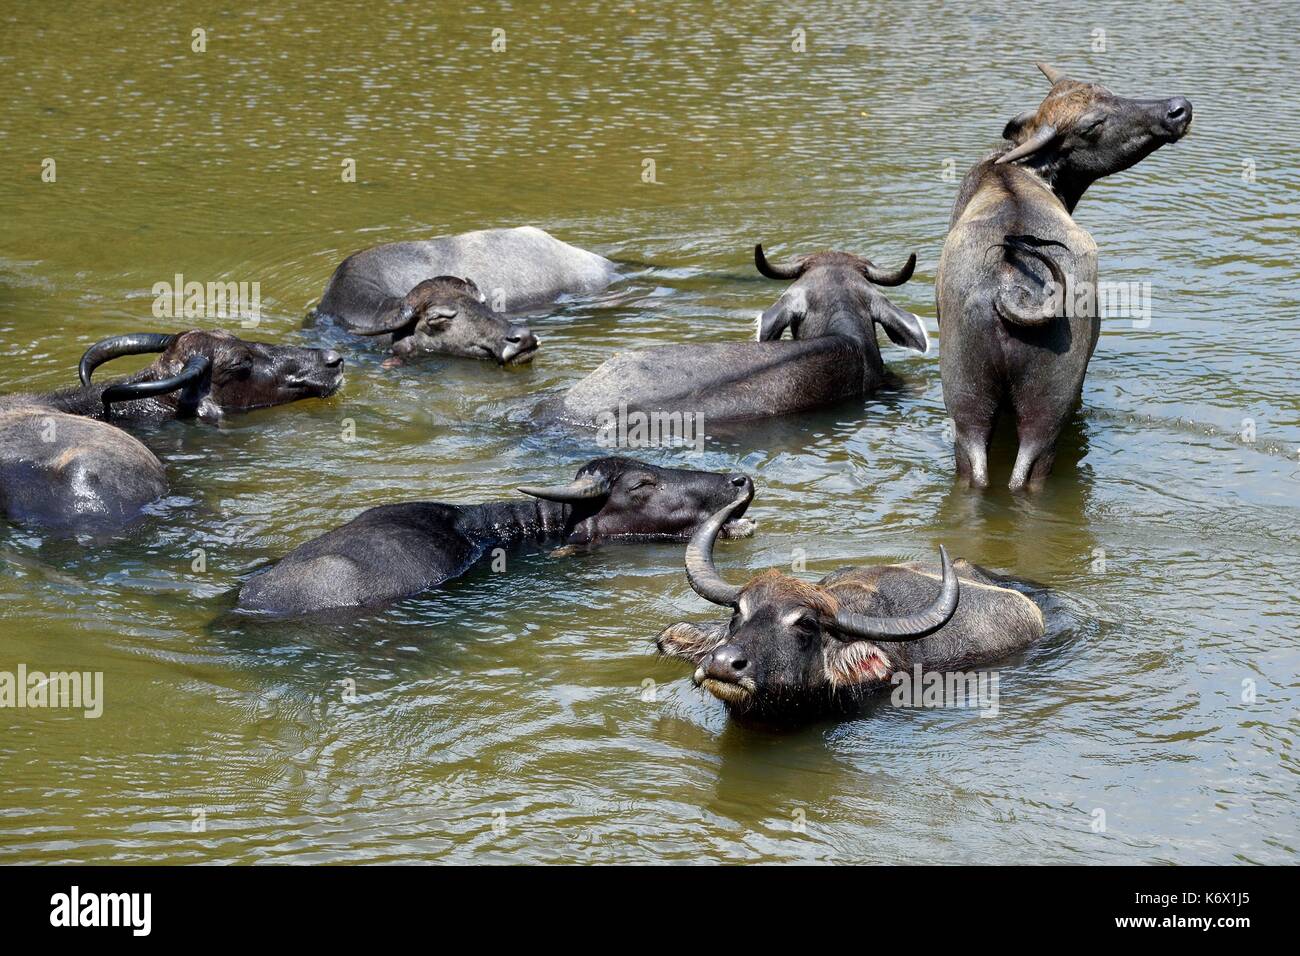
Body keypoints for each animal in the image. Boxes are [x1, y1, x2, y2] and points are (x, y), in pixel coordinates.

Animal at [937, 63, 1192, 490]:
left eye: (1109, 90)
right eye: (1092, 125)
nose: (1178, 108)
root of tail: (1010, 289)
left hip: (966, 403)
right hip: (1044, 404)